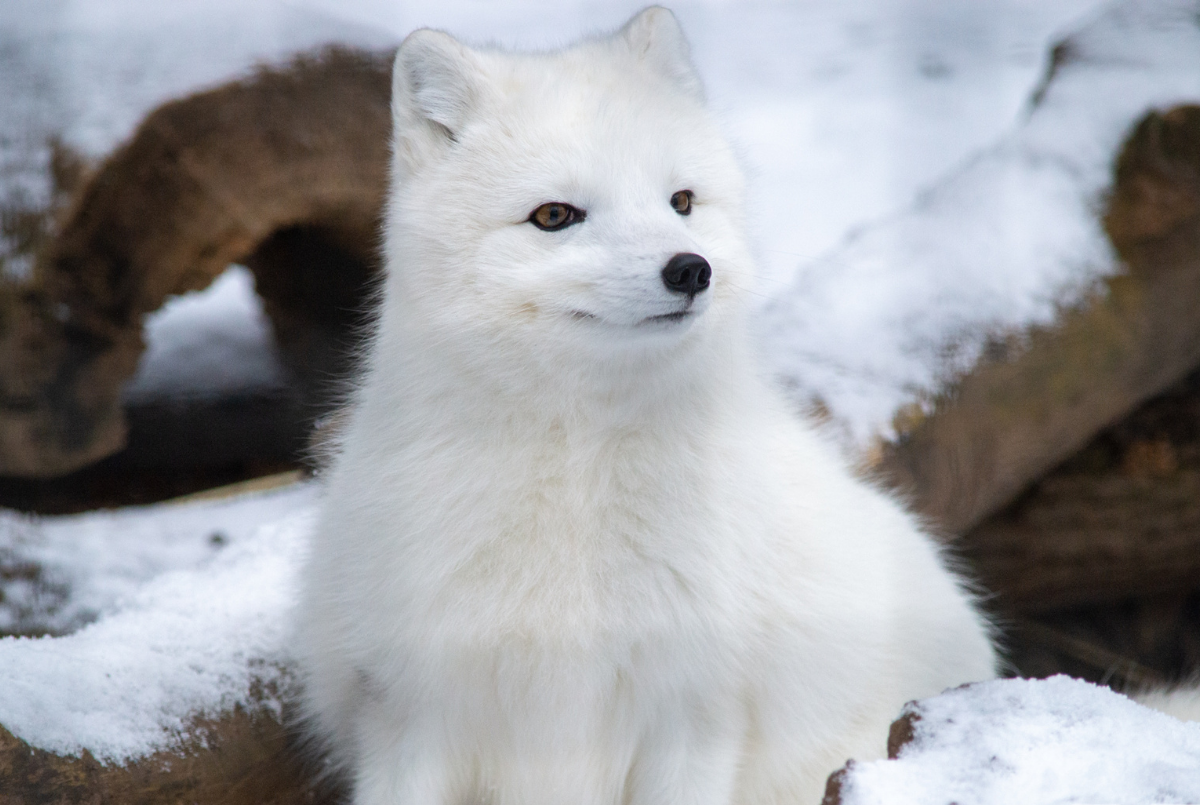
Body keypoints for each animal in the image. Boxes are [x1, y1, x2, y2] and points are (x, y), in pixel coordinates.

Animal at [295, 7, 997, 804]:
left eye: (681, 202)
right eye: (555, 215)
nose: (691, 269)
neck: (575, 480)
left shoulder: (693, 712)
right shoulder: (410, 712)